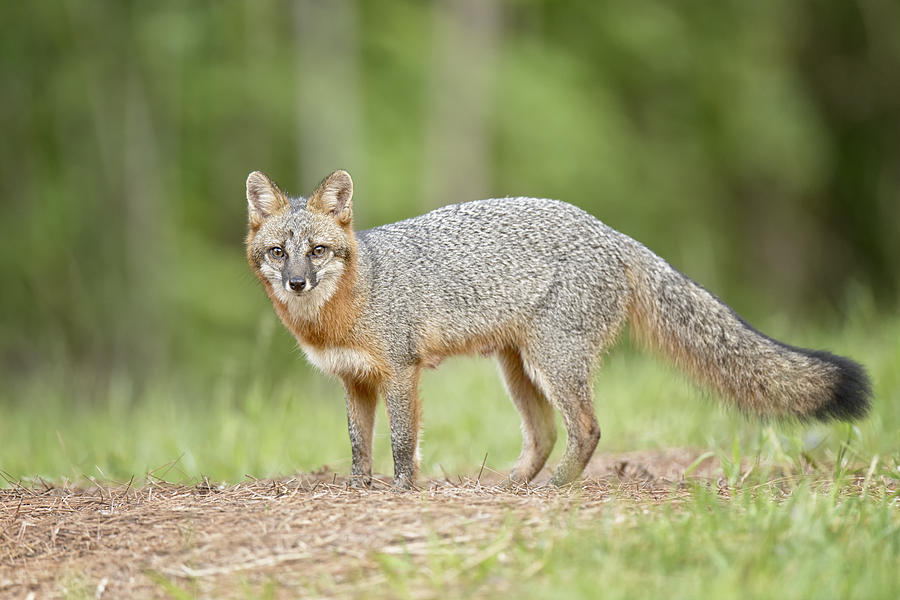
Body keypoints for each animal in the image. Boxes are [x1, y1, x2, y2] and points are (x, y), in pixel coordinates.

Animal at [245, 169, 872, 489]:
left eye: (317, 251)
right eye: (278, 252)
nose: (296, 282)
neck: (346, 307)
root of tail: (610, 232)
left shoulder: (401, 371)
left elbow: (401, 442)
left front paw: (401, 489)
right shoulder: (353, 381)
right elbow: (358, 444)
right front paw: (357, 487)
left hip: (555, 363)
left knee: (588, 429)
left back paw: (557, 485)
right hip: (517, 369)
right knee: (545, 434)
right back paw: (513, 484)